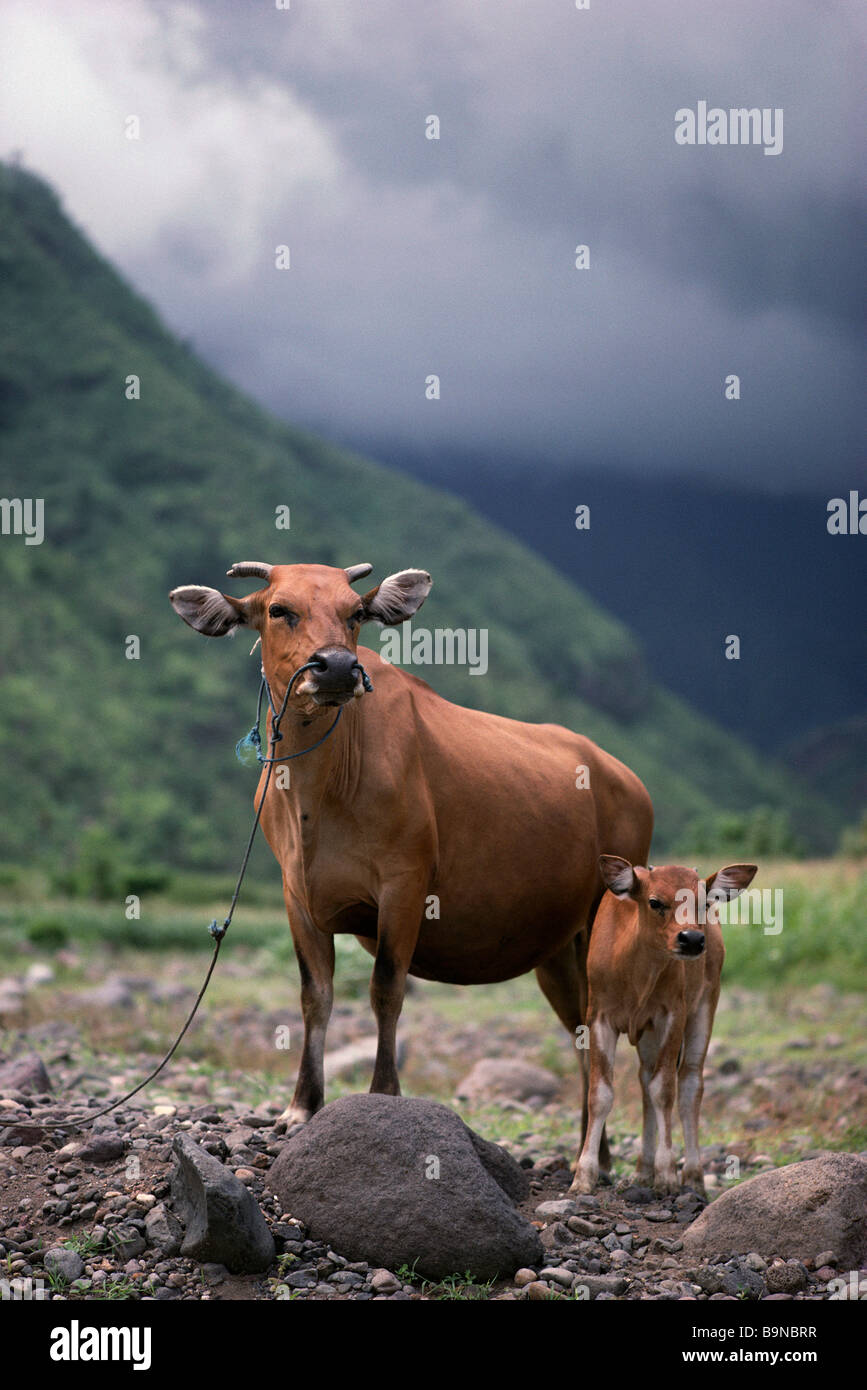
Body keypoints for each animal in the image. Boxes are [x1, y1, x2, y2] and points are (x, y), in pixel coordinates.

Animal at [169, 560, 653, 1164]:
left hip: (603, 921)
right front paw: (300, 1107)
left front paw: (382, 1094)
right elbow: (315, 996)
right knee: (582, 1028)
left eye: (356, 612)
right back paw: (599, 1152)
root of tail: (626, 778)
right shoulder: (296, 894)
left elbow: (385, 989)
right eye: (279, 609)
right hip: (558, 947)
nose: (337, 666)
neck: (315, 795)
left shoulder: (404, 885)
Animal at [572, 855, 757, 1196]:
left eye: (704, 902)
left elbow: (665, 1090)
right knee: (645, 1080)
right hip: (647, 1033)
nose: (692, 939)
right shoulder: (599, 1017)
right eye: (655, 901)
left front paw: (668, 1172)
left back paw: (693, 1175)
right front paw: (583, 1176)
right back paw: (643, 1171)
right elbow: (600, 1093)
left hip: (705, 1006)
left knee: (689, 1084)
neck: (636, 974)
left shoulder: (674, 1014)